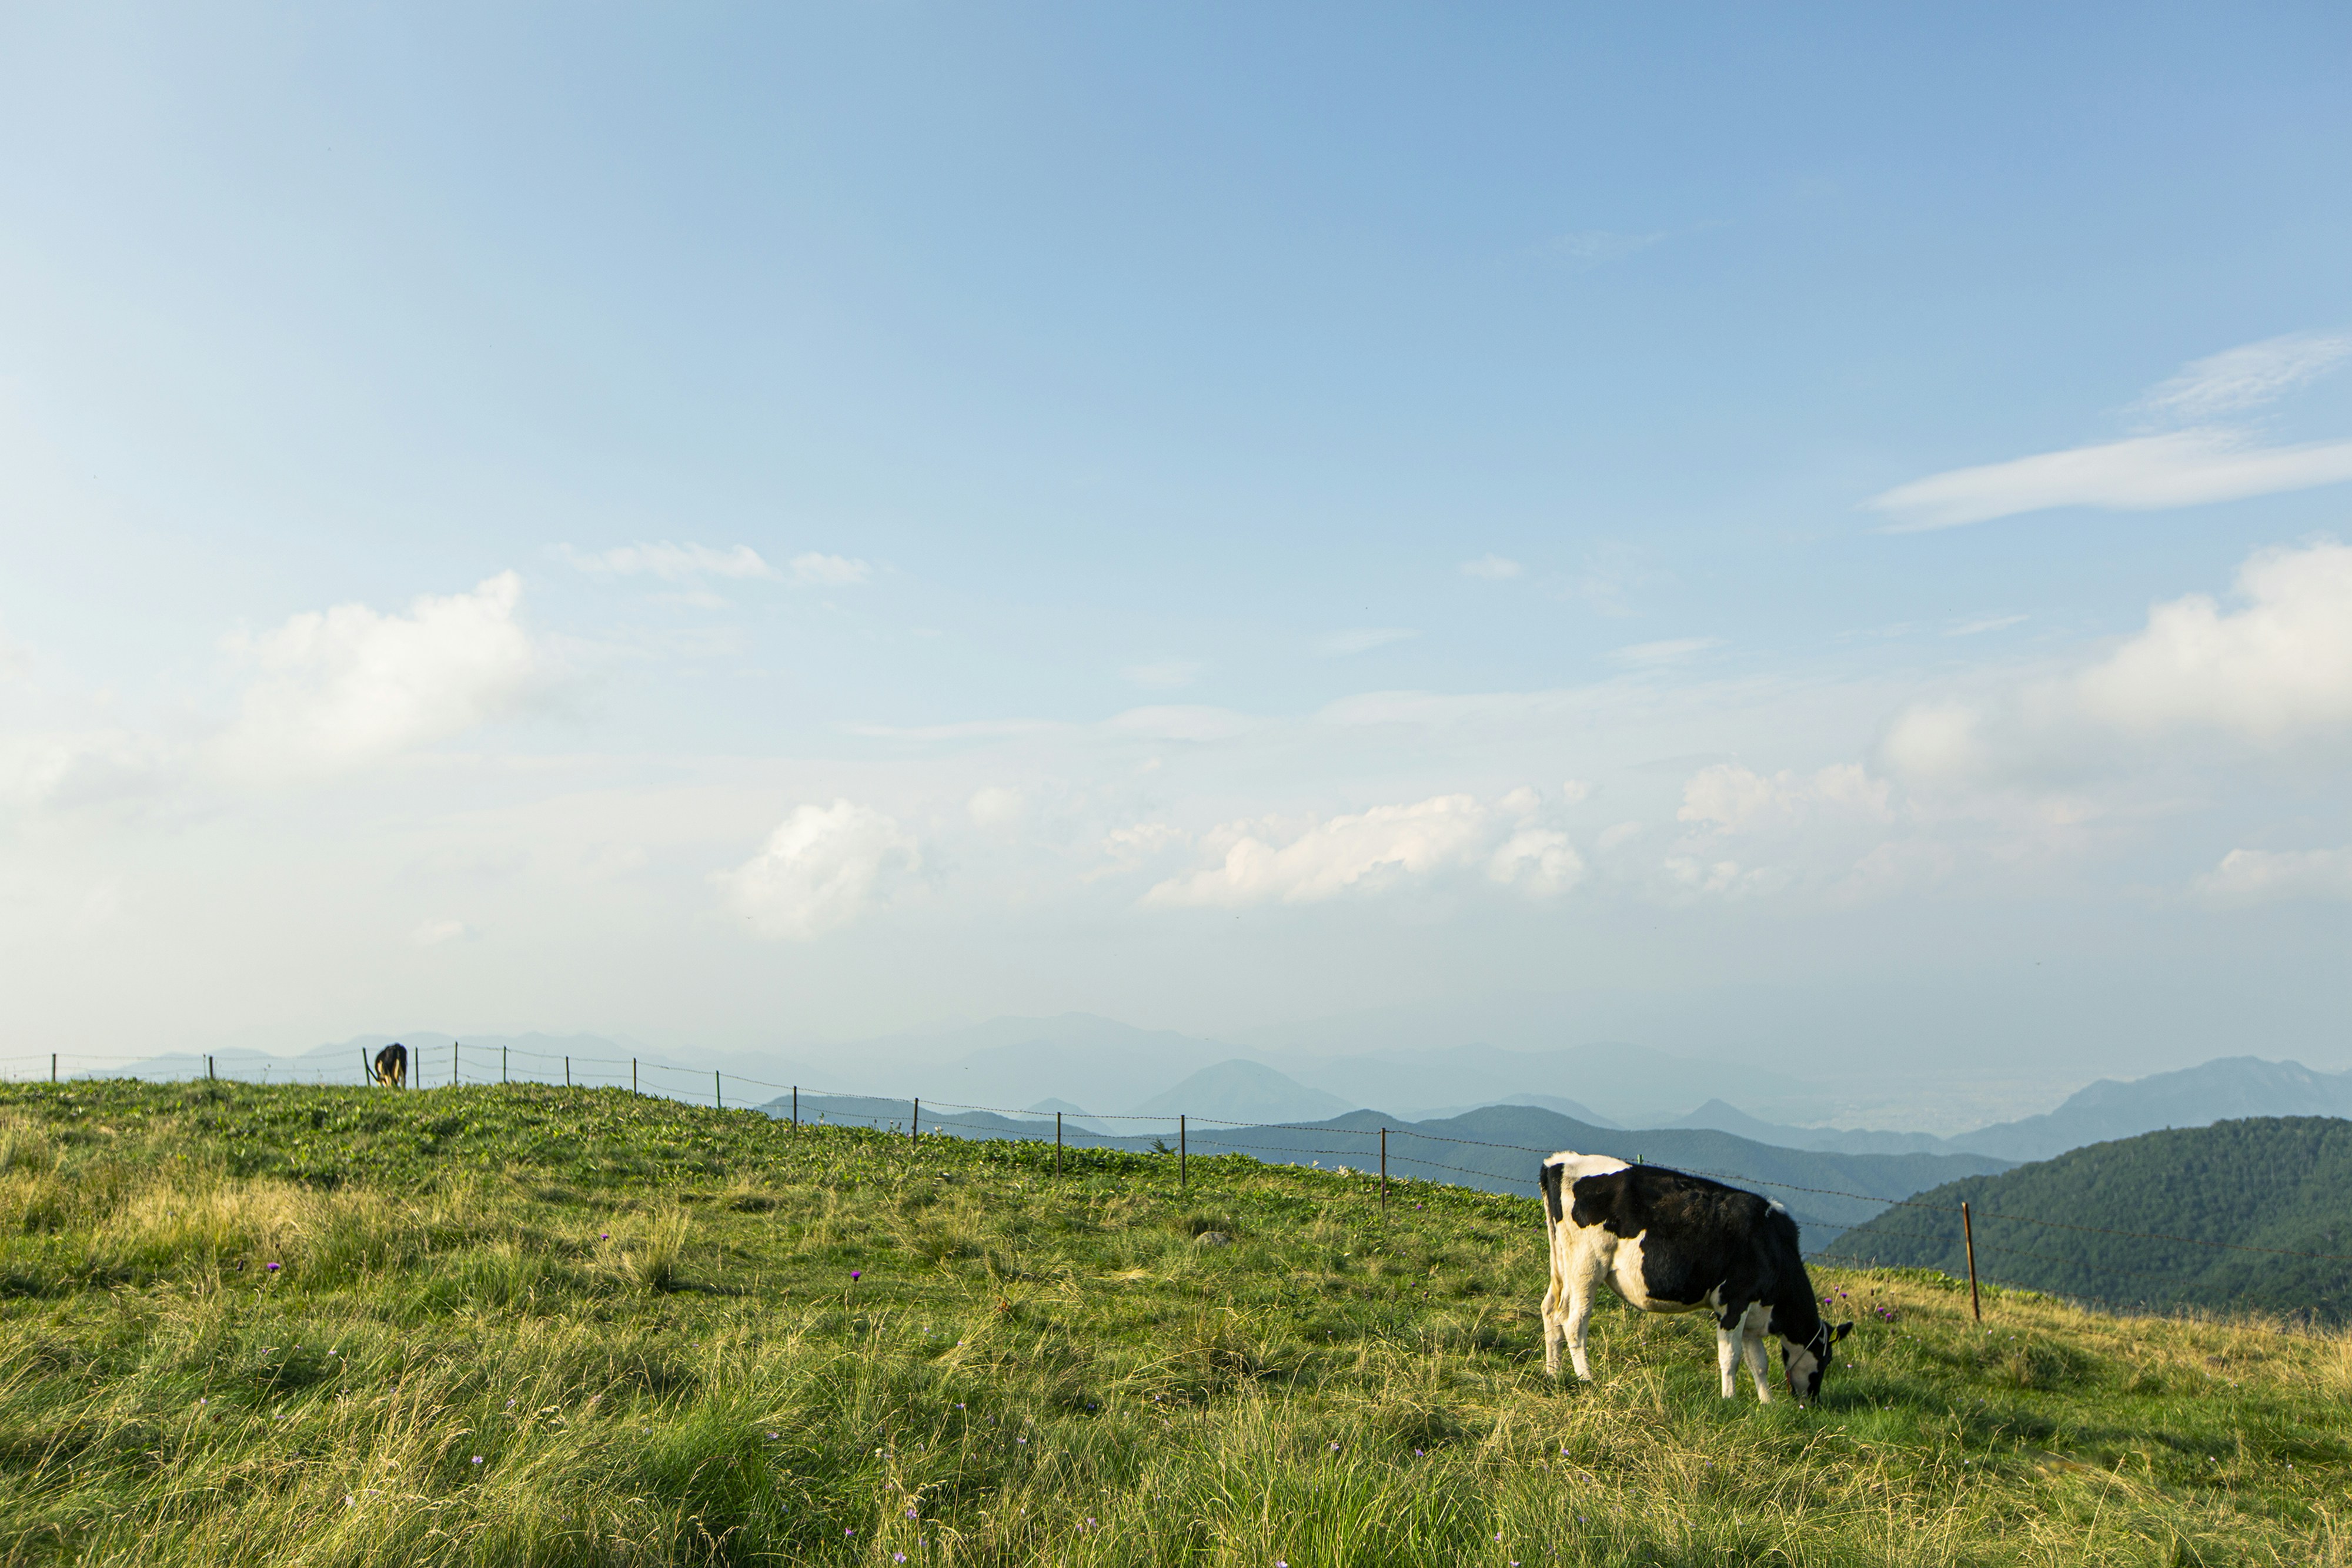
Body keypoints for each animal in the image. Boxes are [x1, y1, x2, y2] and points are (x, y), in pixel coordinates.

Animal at [1539, 1152, 1850, 1405]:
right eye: (1827, 1359)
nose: (1813, 1402)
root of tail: (1561, 1162)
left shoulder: (1752, 1313)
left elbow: (1758, 1363)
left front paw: (1767, 1403)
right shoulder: (1733, 1301)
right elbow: (1731, 1357)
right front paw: (1729, 1399)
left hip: (1562, 1265)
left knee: (1551, 1311)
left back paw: (1554, 1374)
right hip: (1587, 1266)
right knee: (1574, 1322)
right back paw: (1586, 1378)